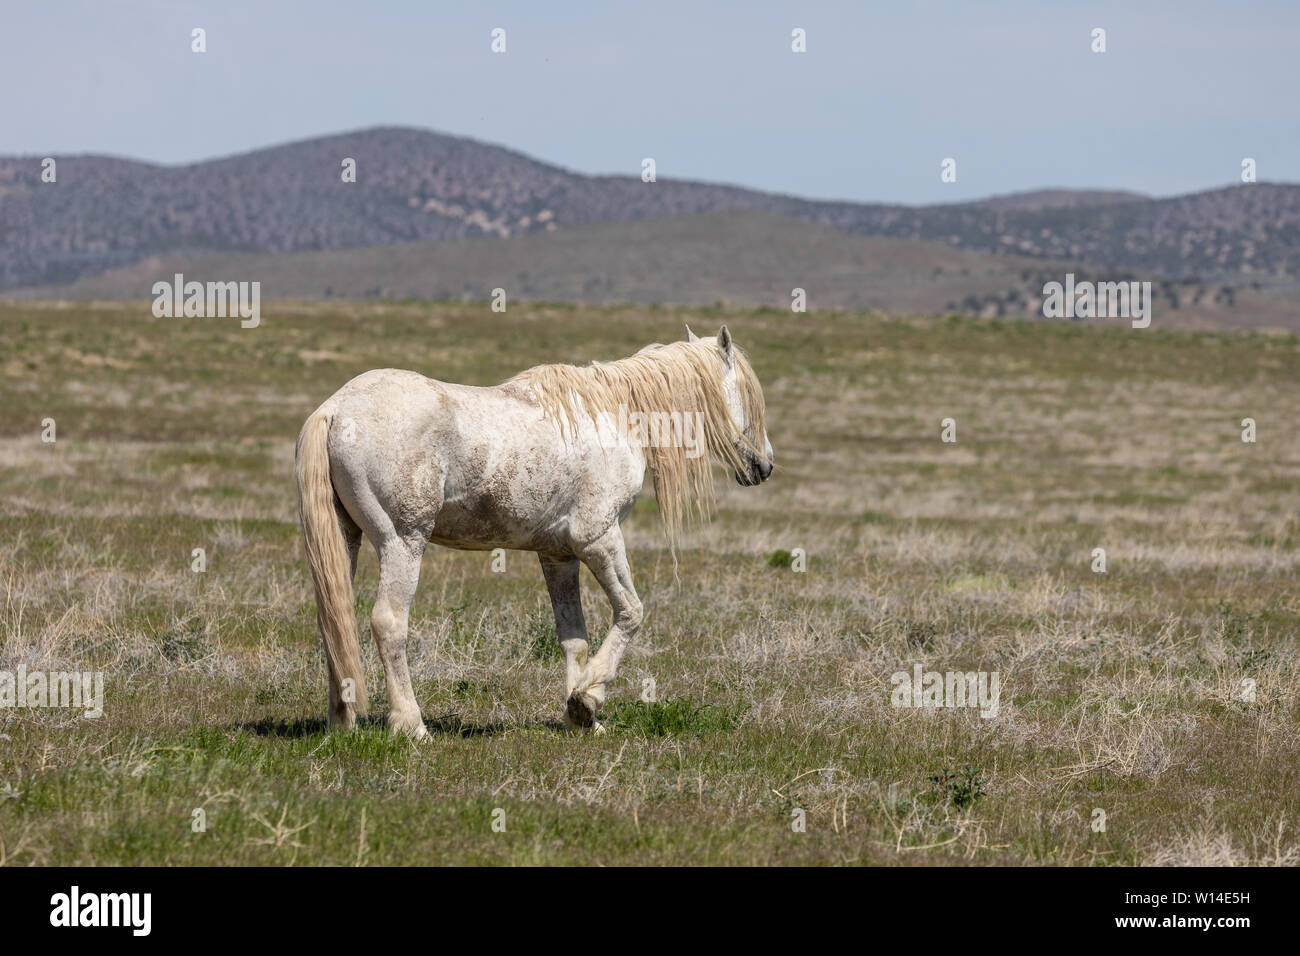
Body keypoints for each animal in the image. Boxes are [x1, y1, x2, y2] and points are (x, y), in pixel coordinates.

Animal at [294, 324, 774, 737]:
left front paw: (580, 718)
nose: (765, 466)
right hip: (403, 542)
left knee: (334, 618)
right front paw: (588, 699)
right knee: (389, 624)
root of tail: (334, 409)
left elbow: (573, 637)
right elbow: (631, 613)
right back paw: (412, 727)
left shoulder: (558, 555)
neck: (616, 416)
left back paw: (342, 722)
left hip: (346, 539)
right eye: (748, 396)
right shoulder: (599, 540)